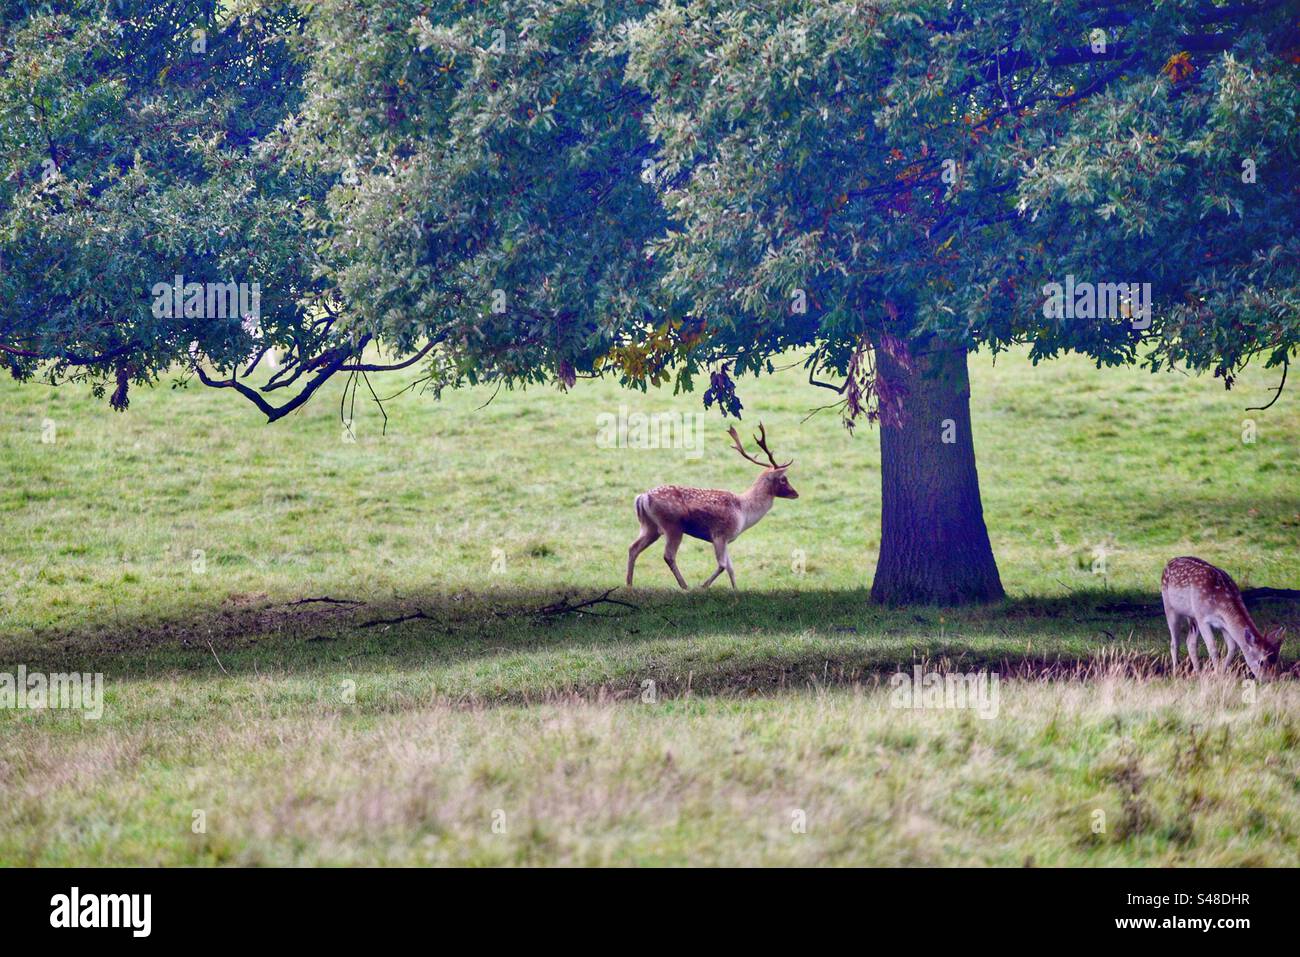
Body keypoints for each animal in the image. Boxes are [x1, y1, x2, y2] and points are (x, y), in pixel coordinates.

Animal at [626, 423, 798, 589]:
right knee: (668, 555)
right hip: (672, 526)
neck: (744, 512)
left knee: (633, 548)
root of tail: (642, 497)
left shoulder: (727, 539)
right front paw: (703, 585)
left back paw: (629, 584)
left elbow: (731, 569)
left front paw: (736, 590)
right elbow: (723, 565)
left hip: (649, 526)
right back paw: (685, 586)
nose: (796, 493)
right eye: (783, 479)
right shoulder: (719, 534)